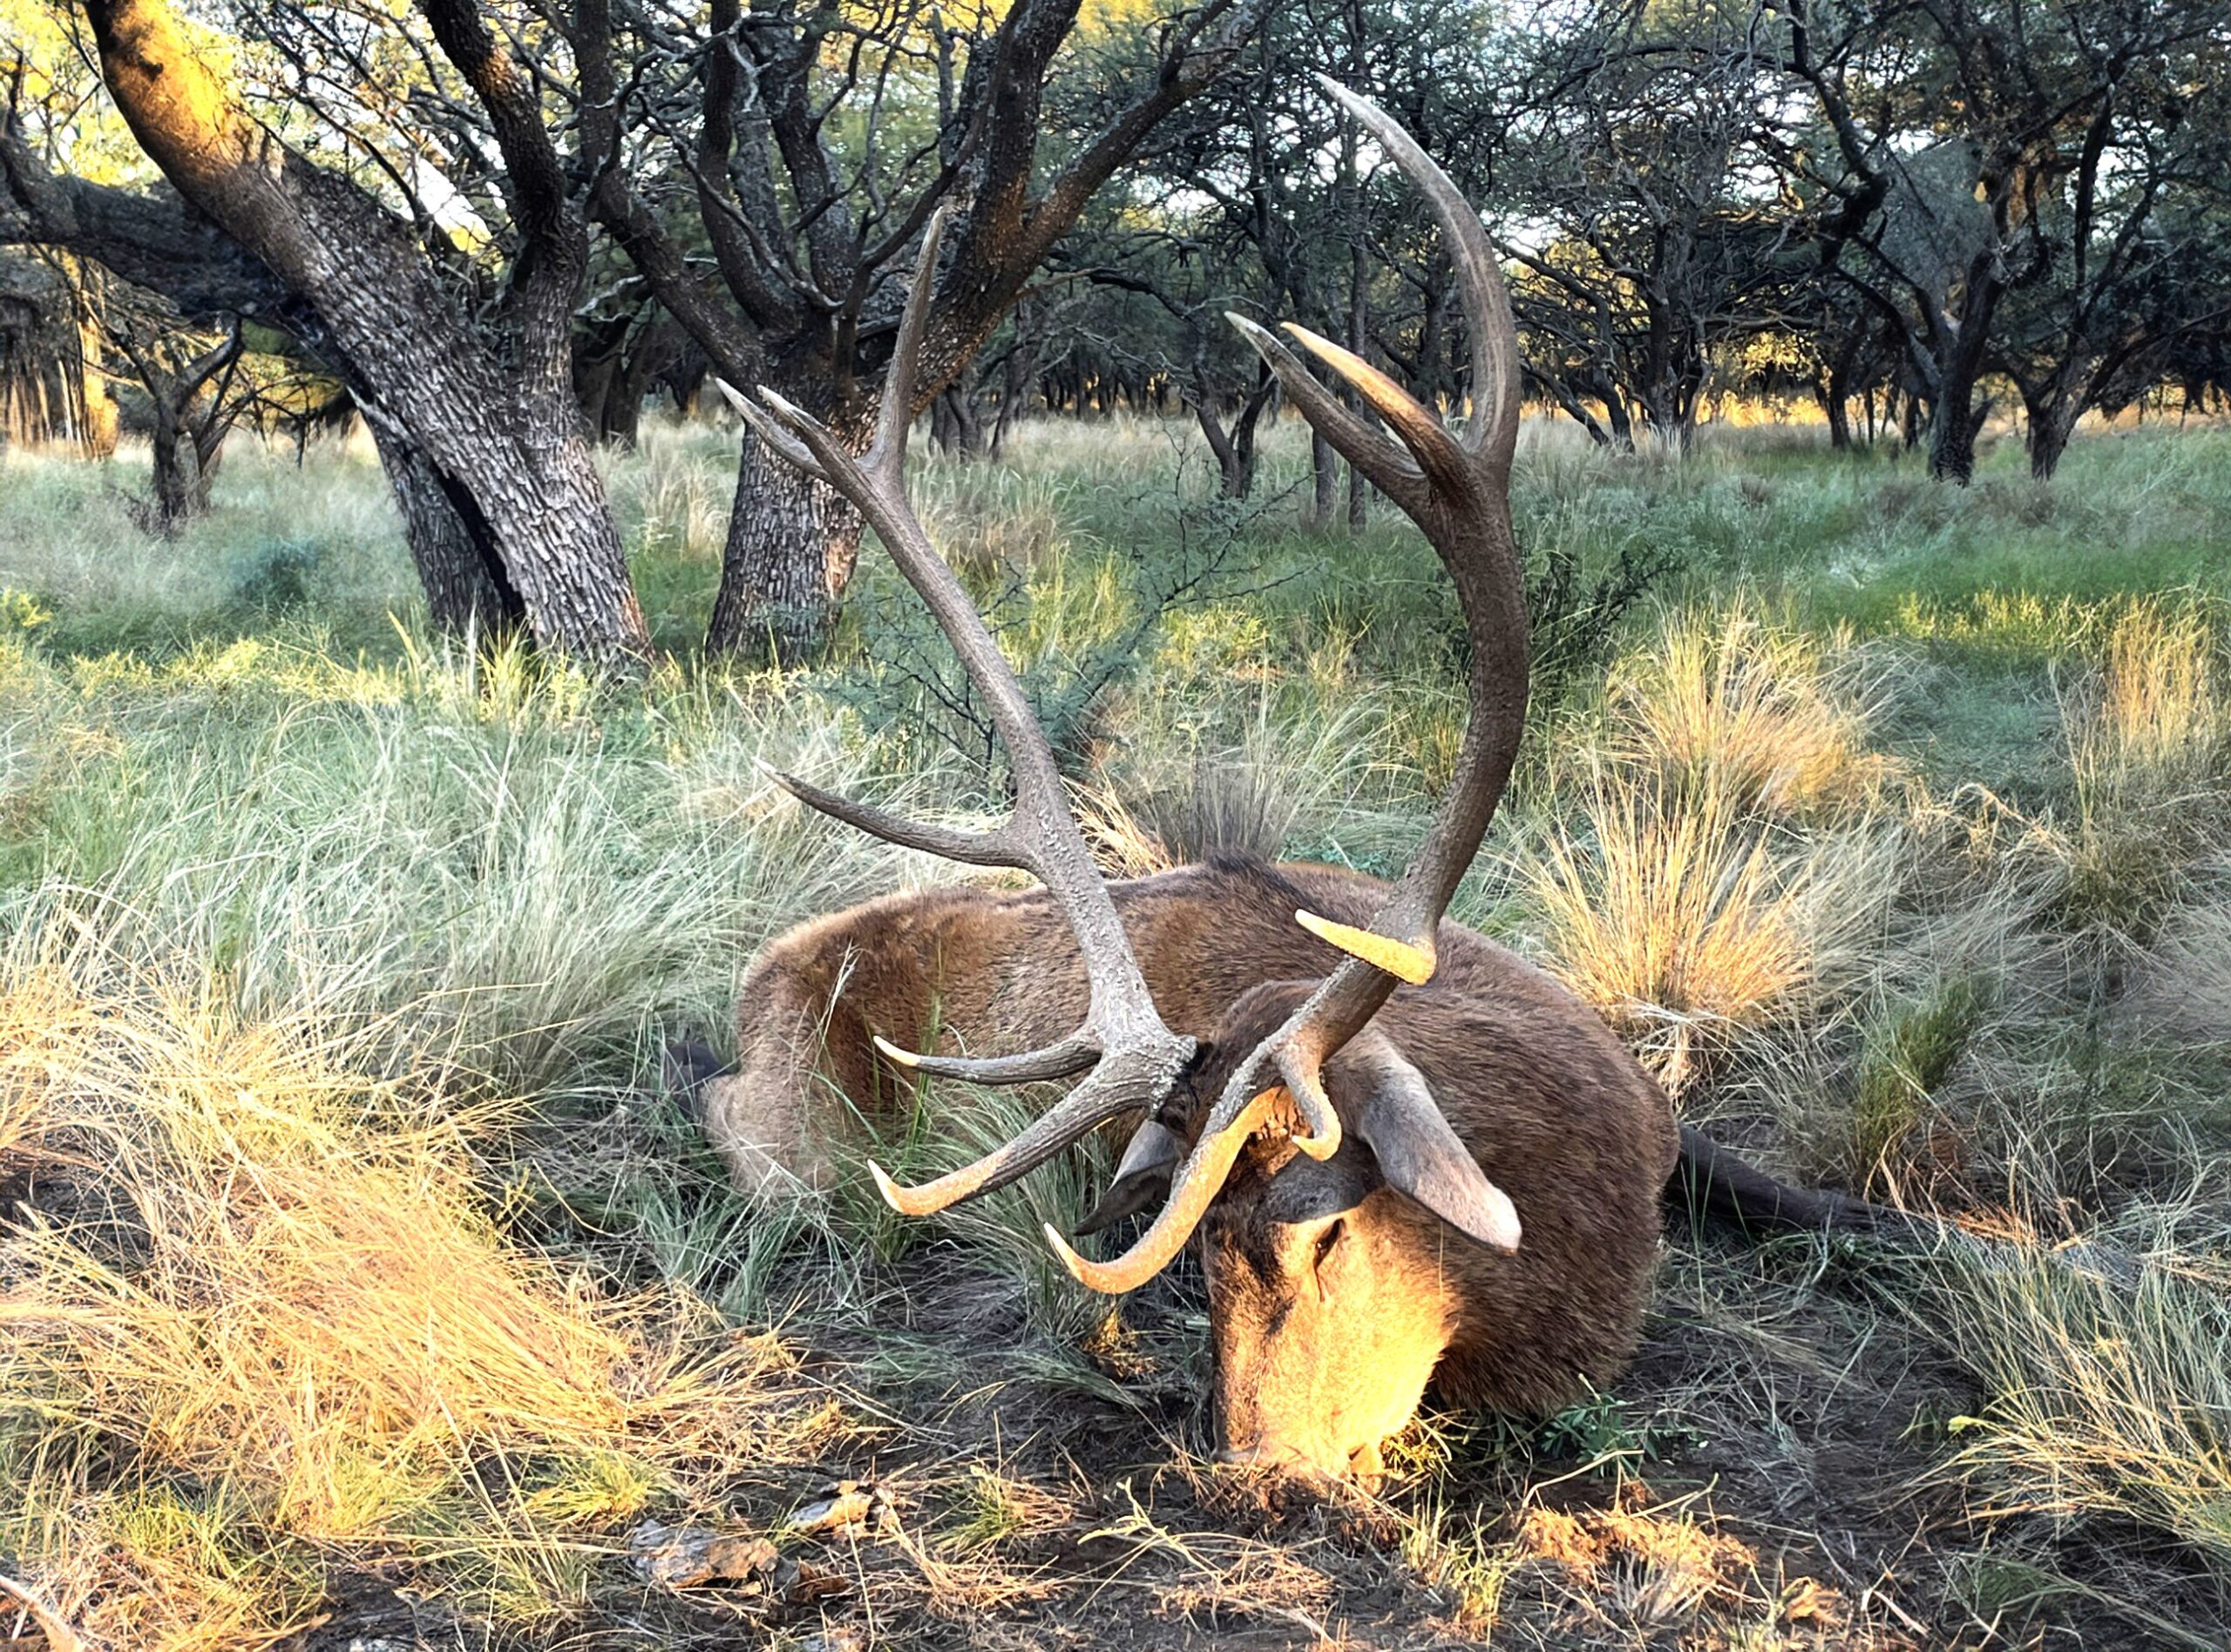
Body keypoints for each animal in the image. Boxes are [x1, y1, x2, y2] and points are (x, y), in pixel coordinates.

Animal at [697, 81, 1886, 1484]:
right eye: (1191, 1250)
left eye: (1314, 1224)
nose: (1257, 1467)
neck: (1595, 1199)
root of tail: (762, 976)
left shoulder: (1677, 1124)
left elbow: (1846, 1204)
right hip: (794, 1131)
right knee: (729, 1118)